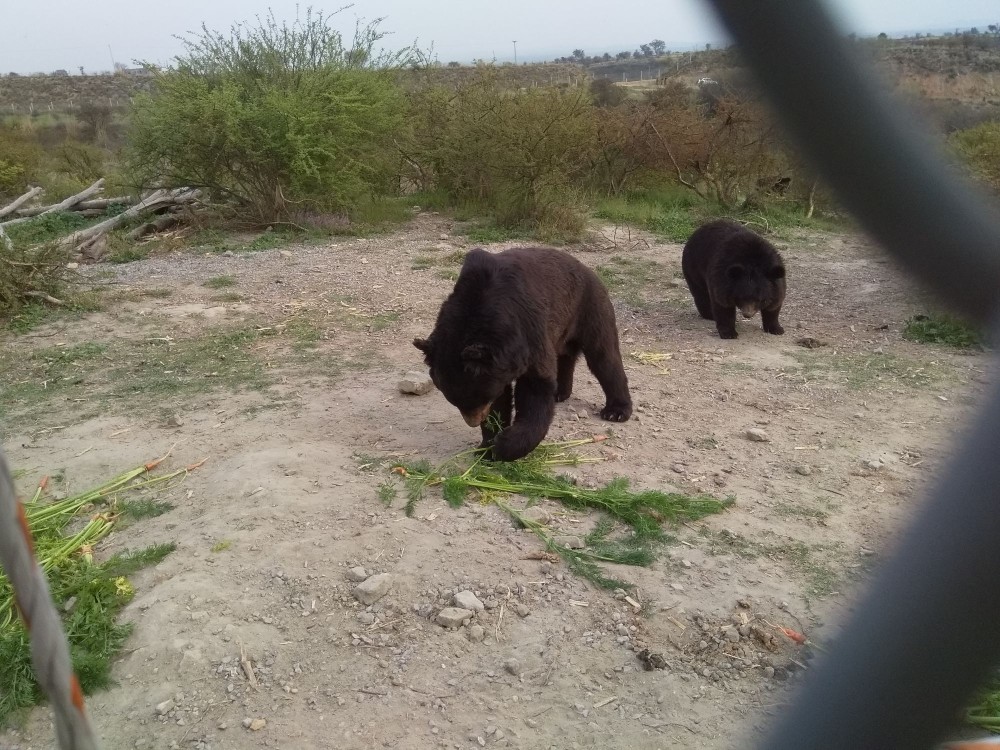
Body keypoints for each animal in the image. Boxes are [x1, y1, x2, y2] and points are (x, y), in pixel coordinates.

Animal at [413, 246, 633, 462]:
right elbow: (502, 399)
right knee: (566, 356)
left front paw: (505, 444)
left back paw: (616, 411)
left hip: (590, 308)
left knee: (604, 357)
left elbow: (535, 387)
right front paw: (487, 446)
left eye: (478, 398)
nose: (474, 421)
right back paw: (561, 392)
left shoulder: (527, 330)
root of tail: (589, 270)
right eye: (454, 400)